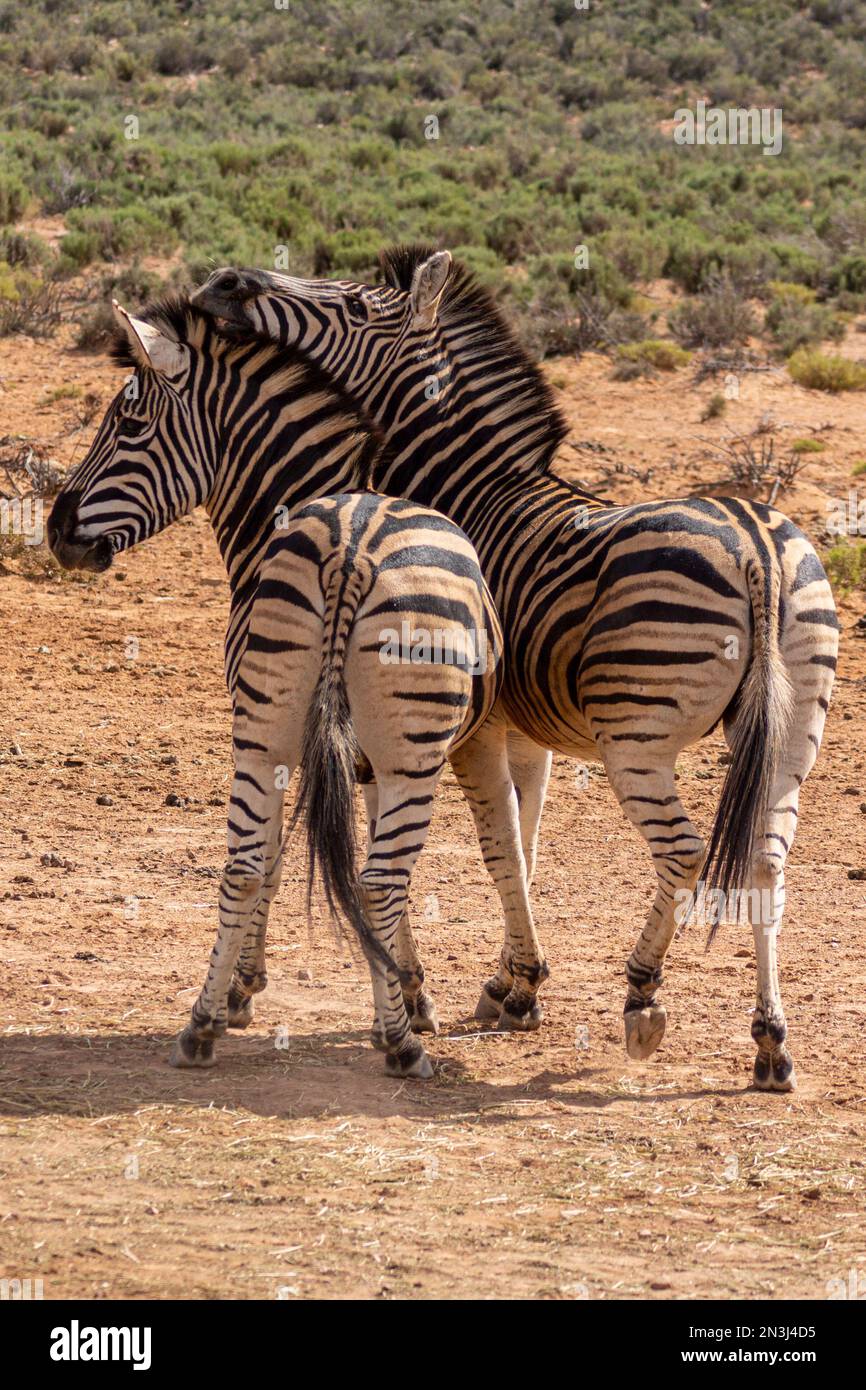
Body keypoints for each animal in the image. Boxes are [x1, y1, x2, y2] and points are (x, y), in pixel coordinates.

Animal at [47, 294, 524, 1078]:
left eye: (130, 425)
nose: (56, 531)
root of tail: (350, 547)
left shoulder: (328, 748)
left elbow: (275, 854)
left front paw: (250, 988)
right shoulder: (373, 757)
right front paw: (404, 996)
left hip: (266, 728)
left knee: (242, 864)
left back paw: (201, 1025)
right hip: (409, 750)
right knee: (378, 881)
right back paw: (402, 1047)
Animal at [193, 248, 840, 1090]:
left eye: (357, 305)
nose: (224, 282)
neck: (471, 489)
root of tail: (758, 544)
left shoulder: (481, 725)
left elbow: (499, 842)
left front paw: (495, 989)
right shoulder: (527, 727)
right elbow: (524, 842)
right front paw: (513, 982)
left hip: (635, 735)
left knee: (684, 851)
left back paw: (642, 996)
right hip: (795, 731)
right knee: (767, 861)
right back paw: (770, 1041)